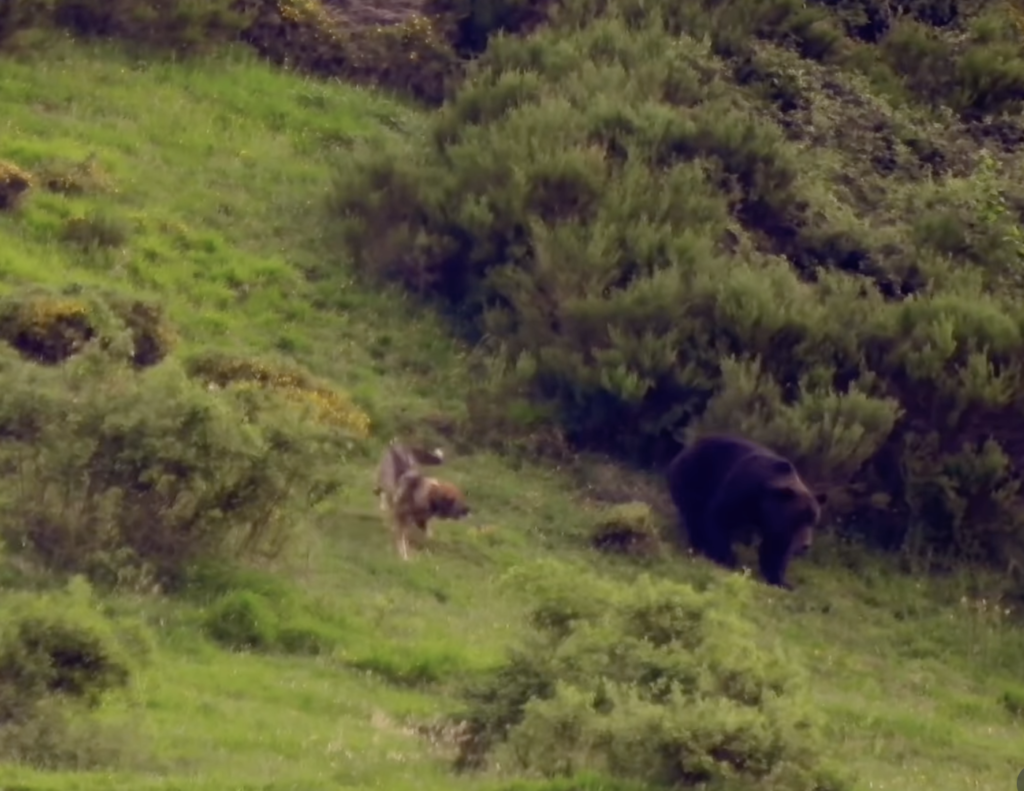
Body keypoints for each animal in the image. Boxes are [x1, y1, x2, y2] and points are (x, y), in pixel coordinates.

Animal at [665, 434, 827, 590]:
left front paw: (782, 581)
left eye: (813, 521)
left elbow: (775, 549)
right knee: (694, 516)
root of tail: (686, 449)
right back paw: (697, 546)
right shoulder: (743, 489)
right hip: (694, 478)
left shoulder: (775, 526)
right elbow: (719, 517)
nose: (805, 545)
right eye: (798, 519)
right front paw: (726, 559)